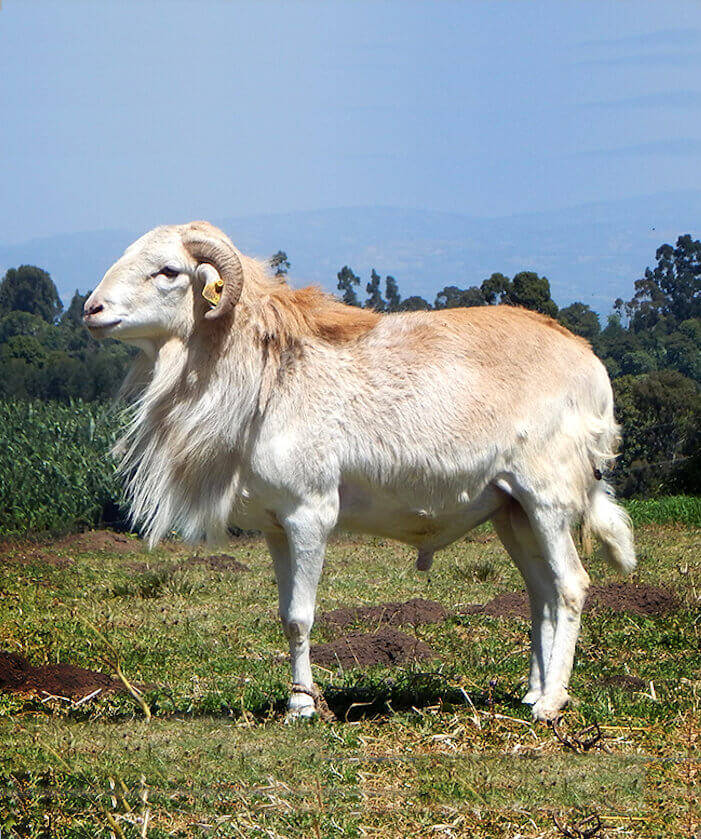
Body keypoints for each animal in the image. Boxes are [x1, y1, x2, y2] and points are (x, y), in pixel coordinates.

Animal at [83, 220, 636, 721]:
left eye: (168, 271)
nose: (91, 310)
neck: (265, 376)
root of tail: (591, 368)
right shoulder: (277, 527)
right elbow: (284, 615)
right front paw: (297, 699)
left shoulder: (310, 514)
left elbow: (300, 618)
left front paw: (304, 708)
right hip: (512, 510)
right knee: (541, 594)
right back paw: (531, 695)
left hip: (547, 499)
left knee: (571, 586)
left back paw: (551, 706)